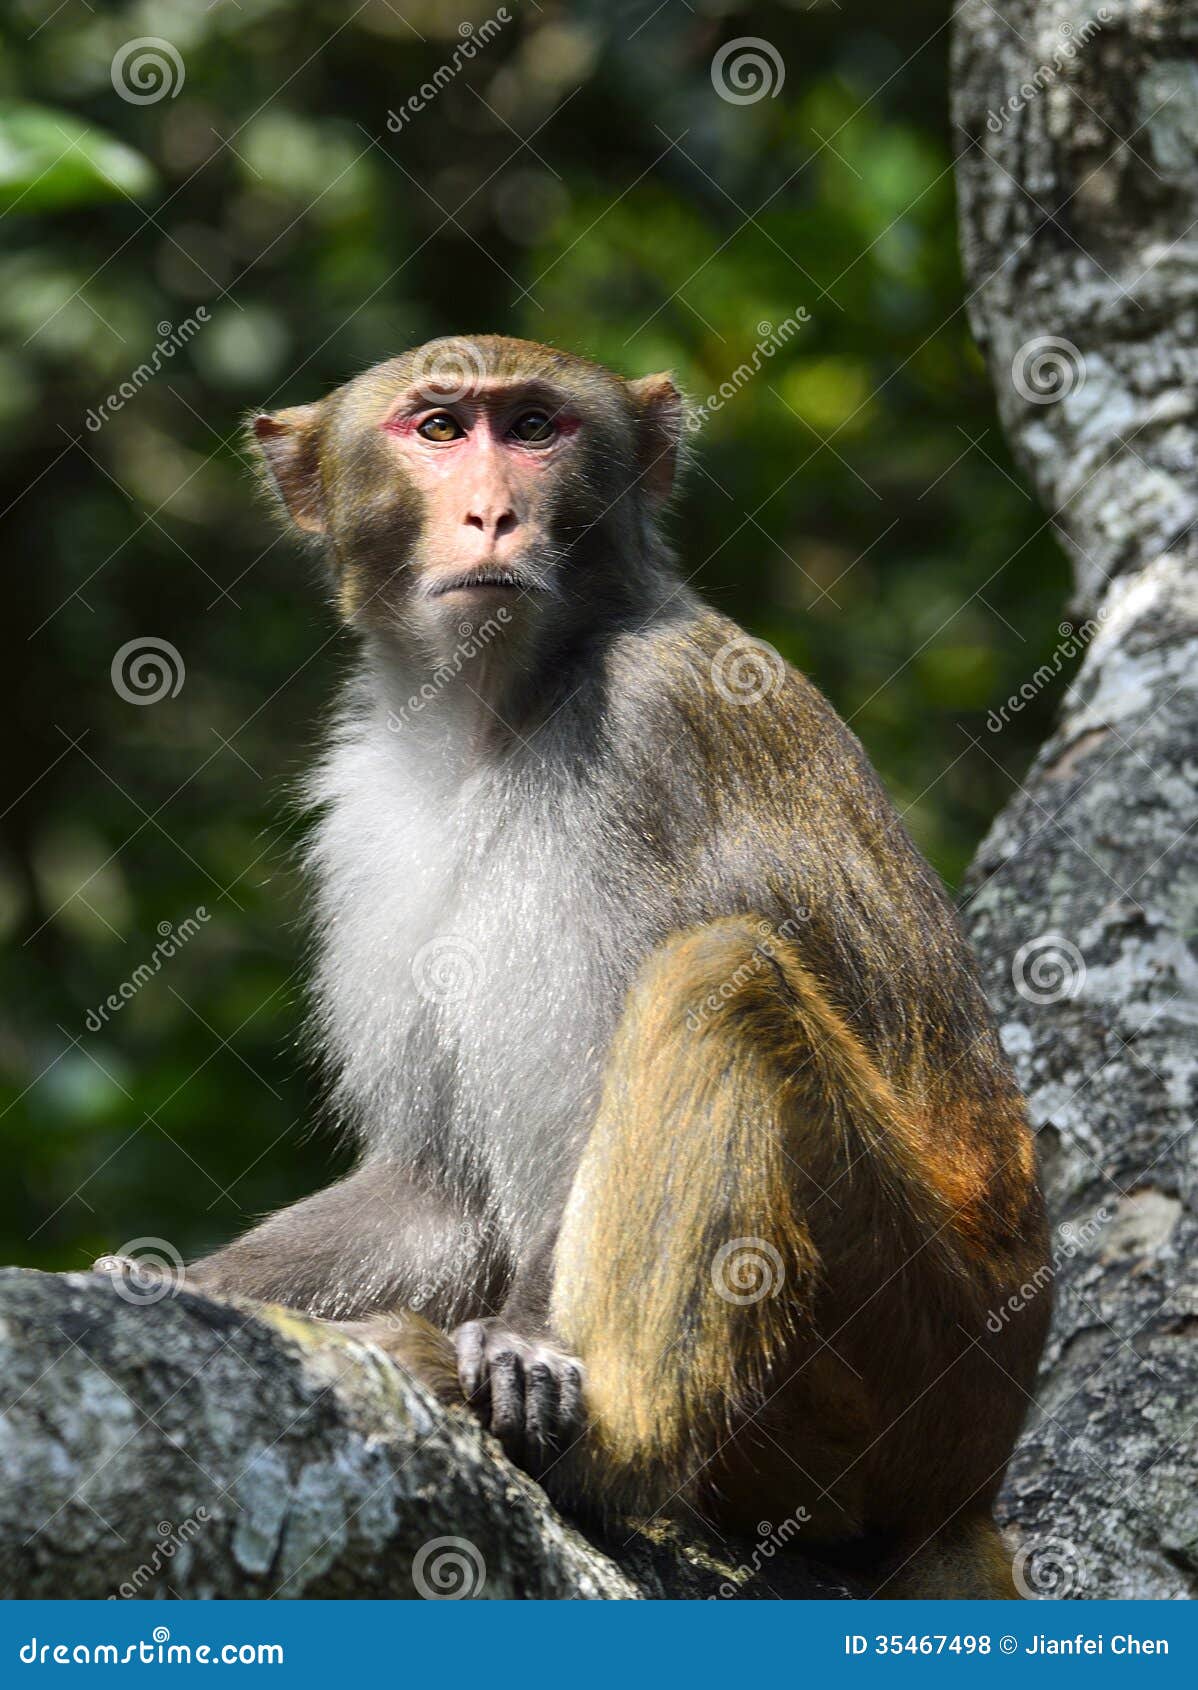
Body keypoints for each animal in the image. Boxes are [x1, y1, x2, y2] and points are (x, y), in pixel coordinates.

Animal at [96, 335, 1049, 1598]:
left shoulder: (644, 728)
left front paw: (528, 1353)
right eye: (438, 429)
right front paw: (161, 1285)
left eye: (535, 427)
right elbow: (440, 1188)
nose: (493, 514)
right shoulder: (365, 815)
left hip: (920, 1355)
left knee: (720, 978)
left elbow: (590, 1086)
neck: (493, 713)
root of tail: (972, 1486)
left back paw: (601, 1440)